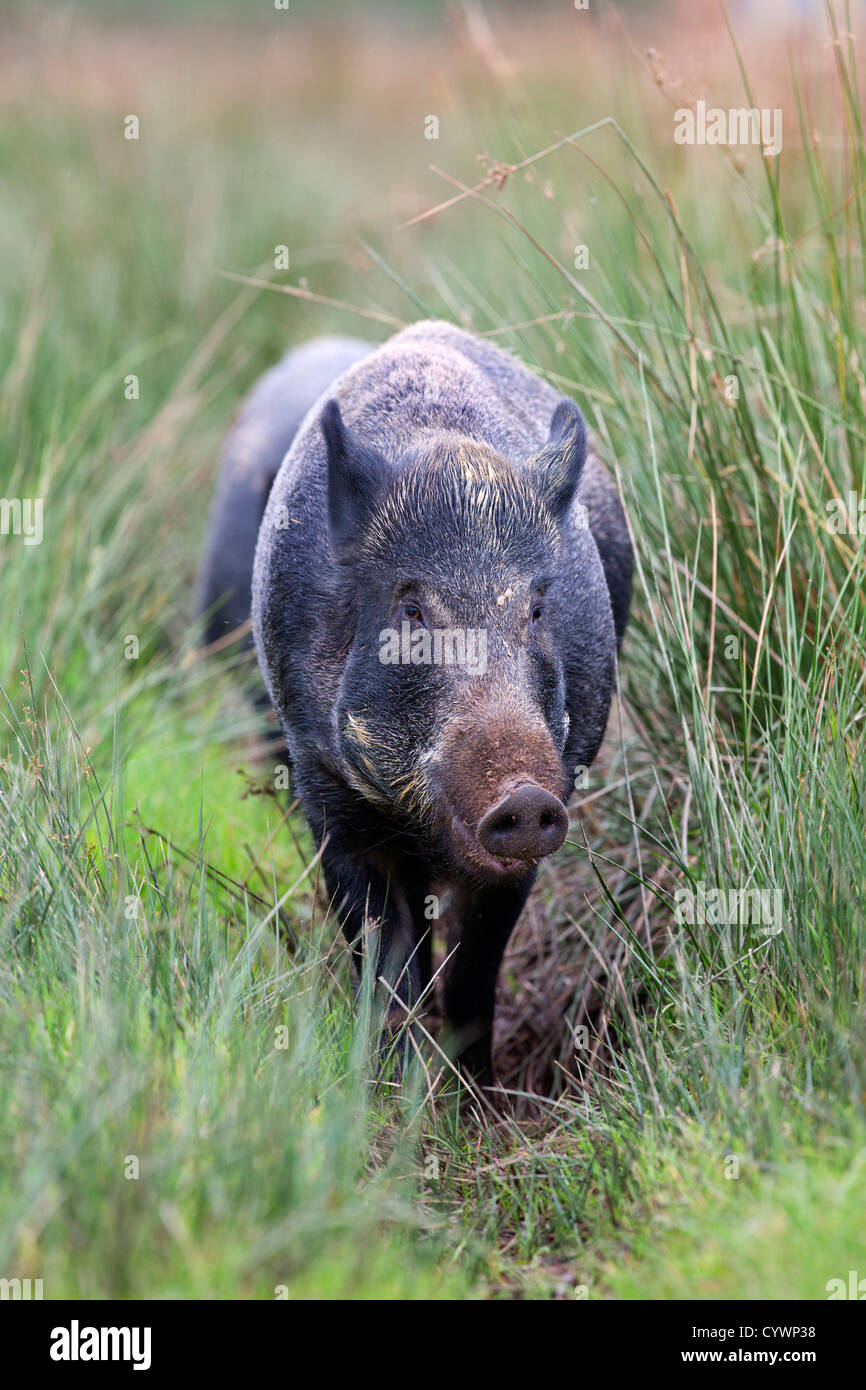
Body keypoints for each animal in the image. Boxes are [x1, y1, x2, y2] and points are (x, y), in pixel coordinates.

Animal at [202, 320, 632, 1082]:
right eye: (411, 611)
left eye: (538, 608)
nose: (523, 795)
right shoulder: (327, 793)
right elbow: (382, 966)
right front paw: (388, 1094)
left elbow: (475, 977)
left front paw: (477, 1099)